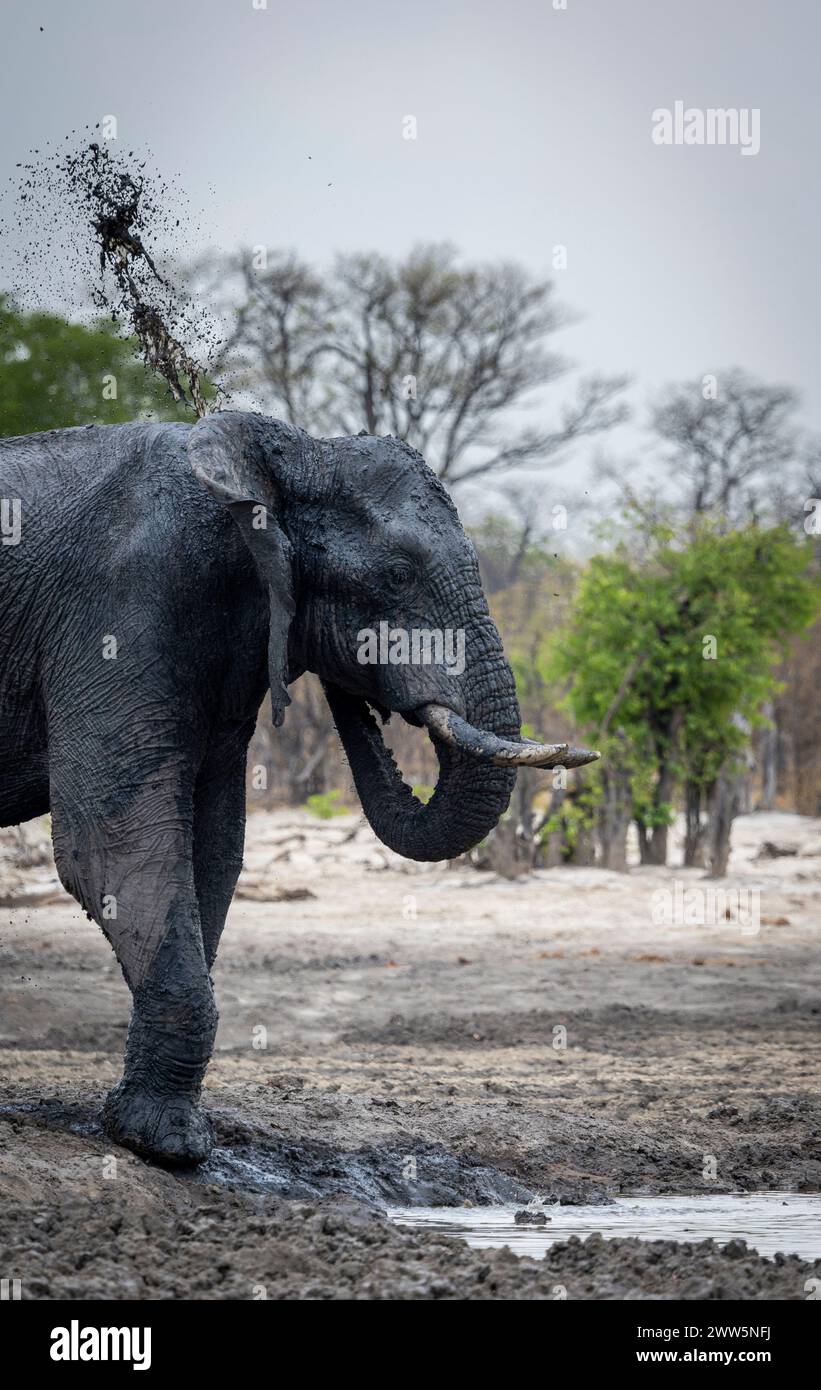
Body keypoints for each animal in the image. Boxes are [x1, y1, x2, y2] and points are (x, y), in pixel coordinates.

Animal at [0, 411, 597, 1166]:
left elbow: (213, 847)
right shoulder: (116, 605)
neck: (284, 461)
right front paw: (165, 1147)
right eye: (397, 575)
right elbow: (108, 842)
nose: (361, 690)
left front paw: (153, 1129)